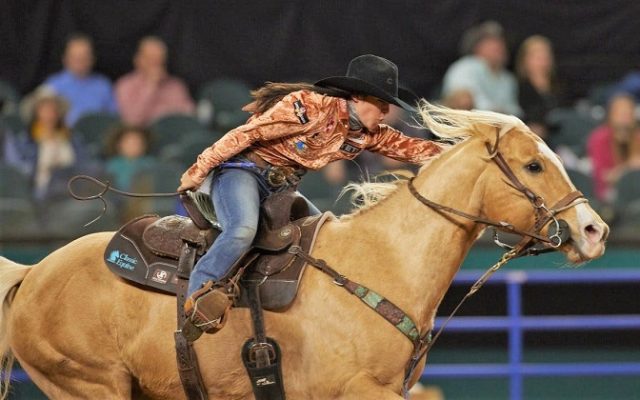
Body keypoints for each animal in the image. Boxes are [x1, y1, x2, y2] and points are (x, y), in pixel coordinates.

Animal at [0, 103, 608, 399]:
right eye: (533, 165)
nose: (594, 230)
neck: (382, 263)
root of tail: (33, 273)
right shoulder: (357, 390)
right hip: (91, 387)